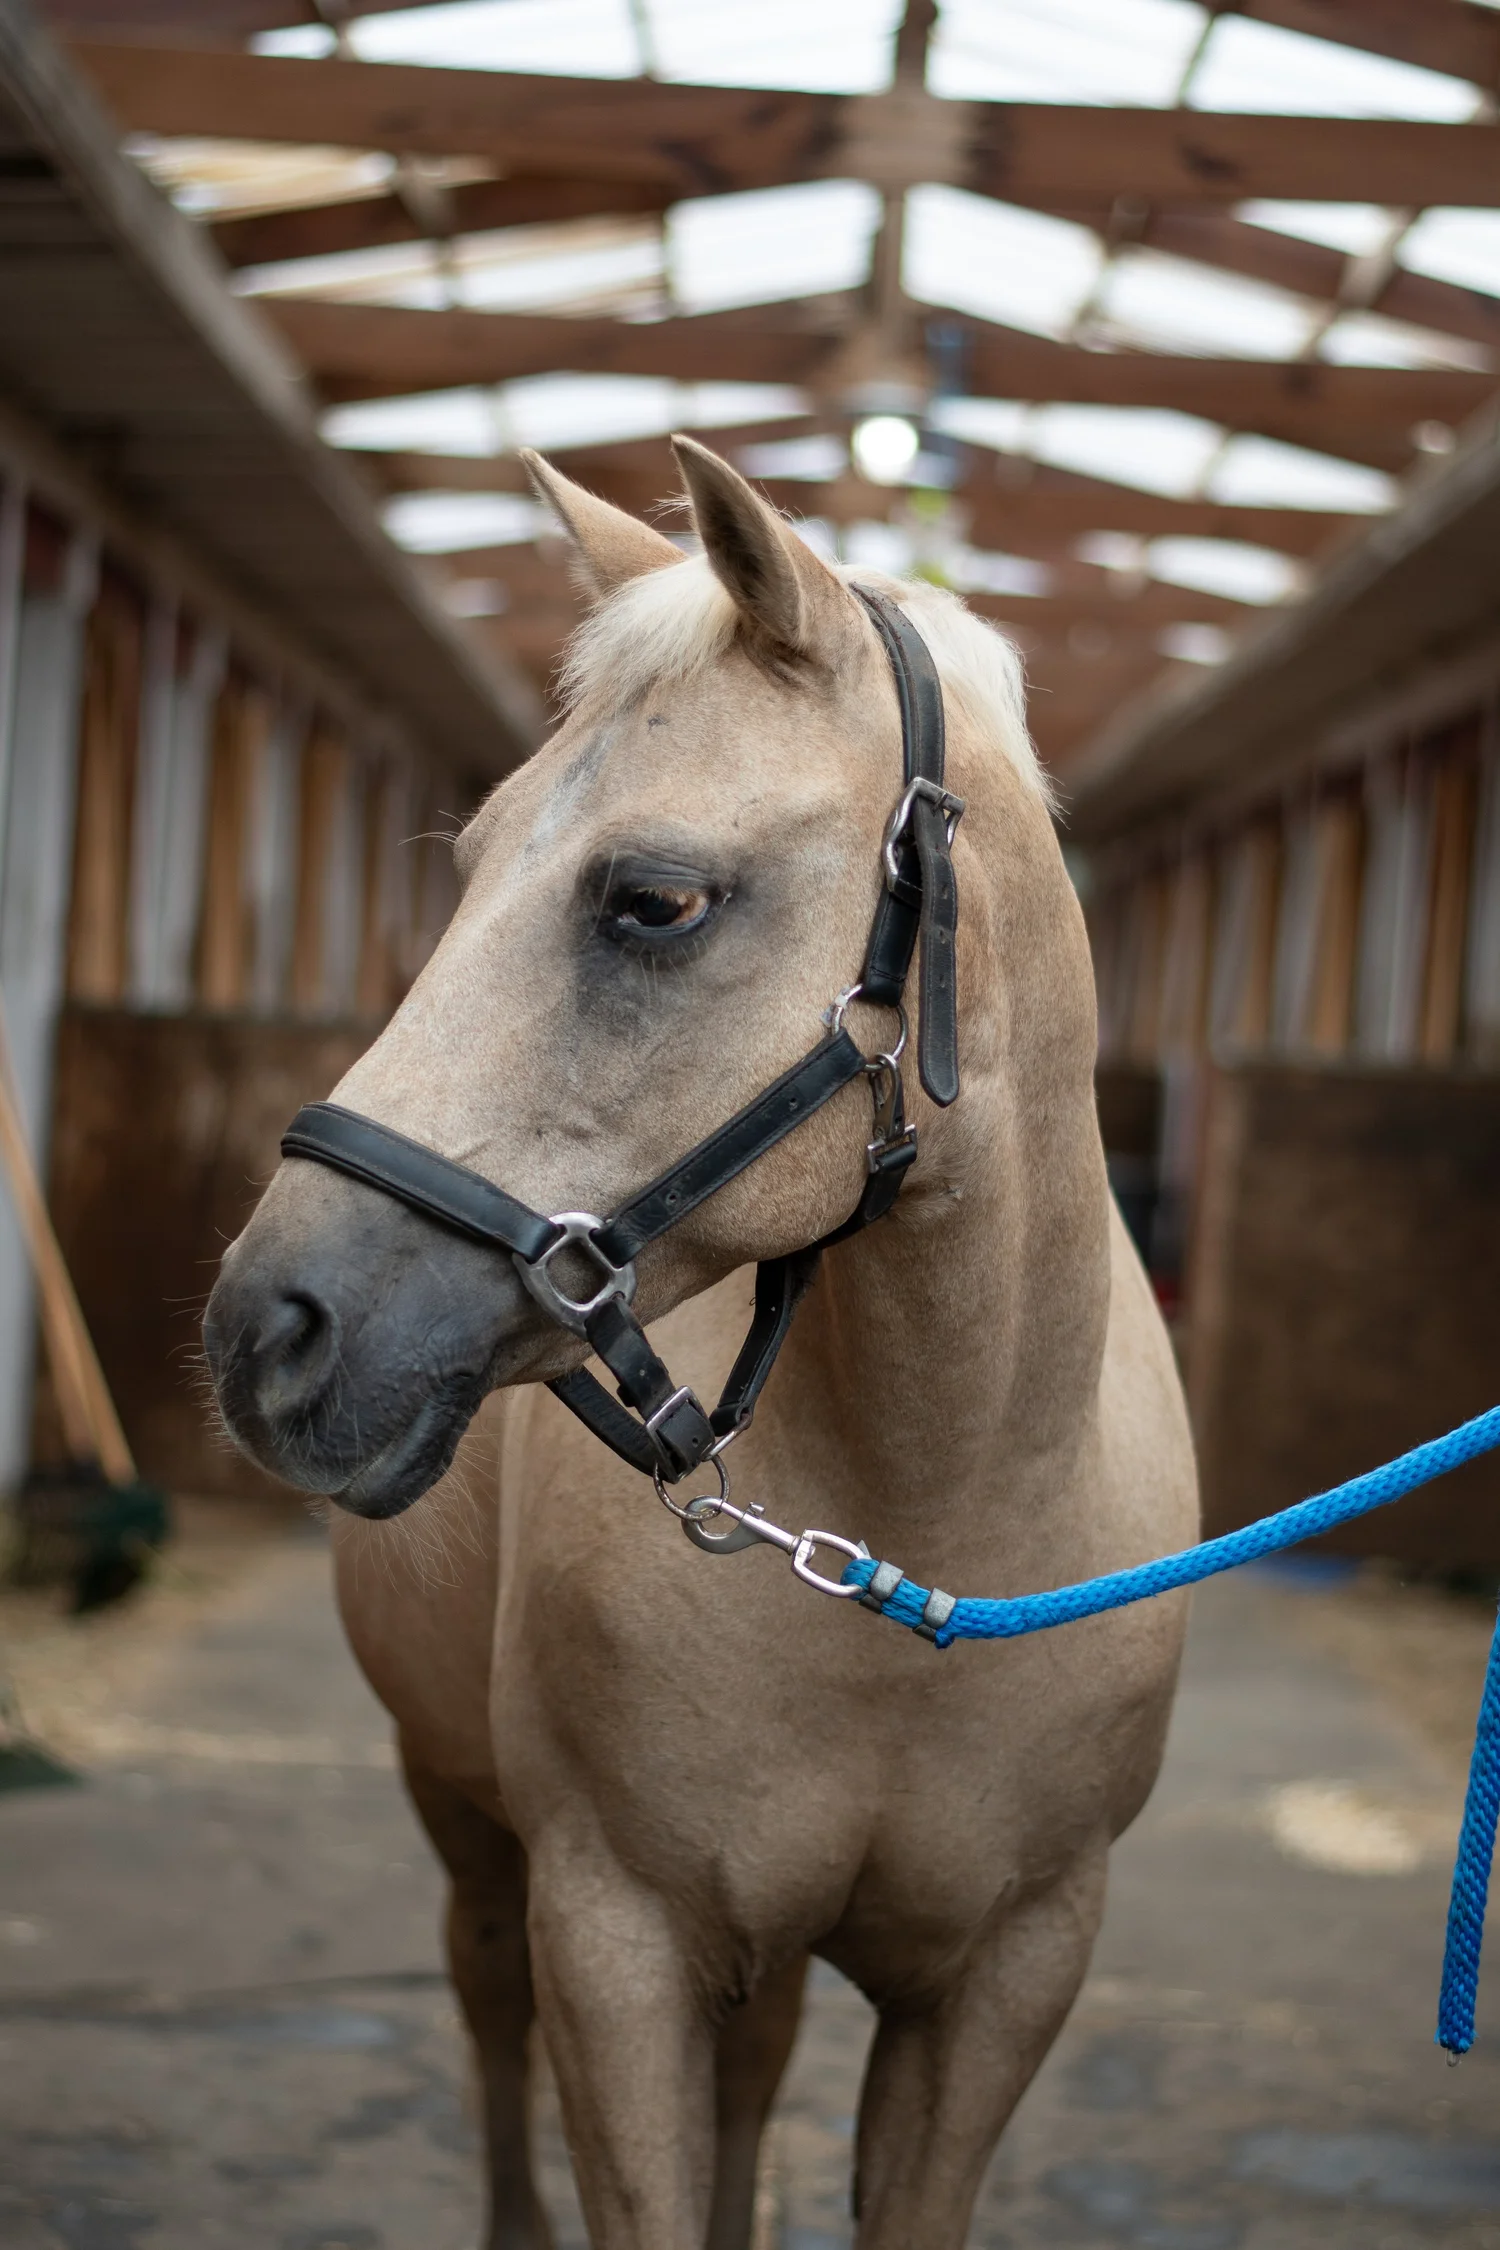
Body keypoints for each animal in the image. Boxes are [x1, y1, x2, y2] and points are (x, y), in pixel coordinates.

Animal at [204, 435, 1198, 2250]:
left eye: (655, 900)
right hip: (463, 1820)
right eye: (468, 863)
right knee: (484, 2009)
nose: (266, 1330)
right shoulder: (618, 1943)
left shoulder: (1008, 1974)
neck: (938, 1522)